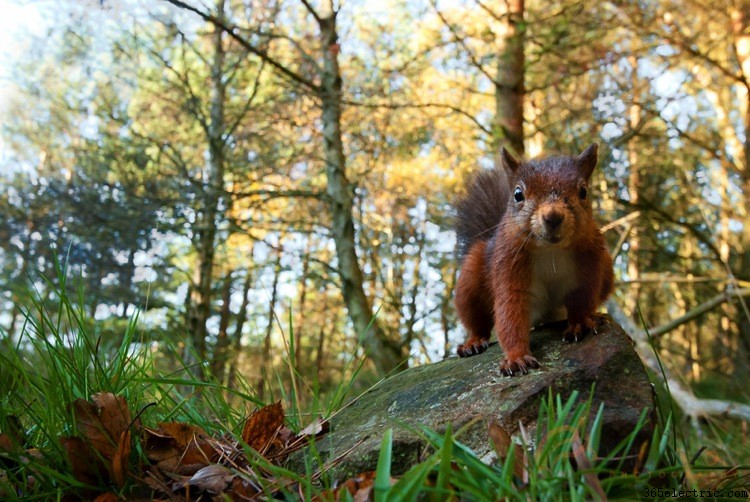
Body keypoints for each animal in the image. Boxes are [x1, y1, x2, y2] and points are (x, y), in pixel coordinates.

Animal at [456, 145, 612, 376]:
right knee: (477, 321)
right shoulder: (507, 265)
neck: (550, 250)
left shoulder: (591, 259)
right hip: (469, 281)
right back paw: (473, 343)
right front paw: (516, 357)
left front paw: (581, 323)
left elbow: (583, 297)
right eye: (517, 194)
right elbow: (510, 312)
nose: (553, 217)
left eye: (583, 192)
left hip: (607, 268)